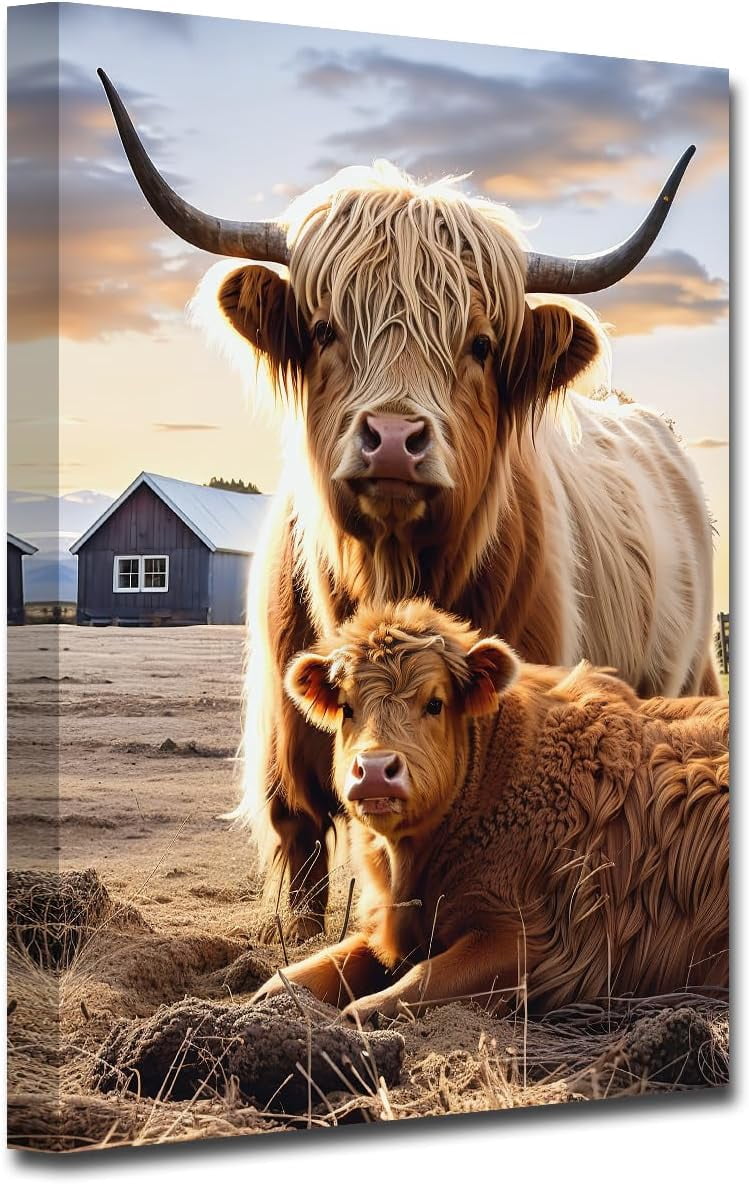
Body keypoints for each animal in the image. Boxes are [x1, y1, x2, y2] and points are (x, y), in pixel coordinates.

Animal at [99, 70, 720, 940]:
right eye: (323, 329)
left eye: (481, 344)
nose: (393, 438)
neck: (388, 571)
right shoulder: (291, 785)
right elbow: (303, 901)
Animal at [252, 599, 728, 1020]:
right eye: (348, 708)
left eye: (435, 703)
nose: (373, 771)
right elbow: (311, 972)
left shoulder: (526, 942)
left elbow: (416, 983)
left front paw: (363, 1013)